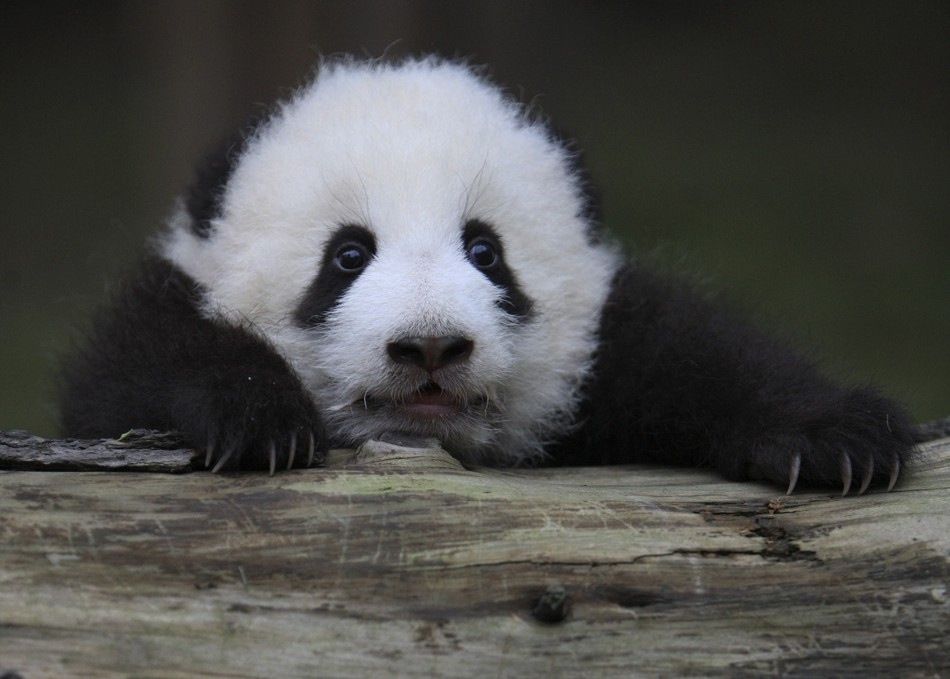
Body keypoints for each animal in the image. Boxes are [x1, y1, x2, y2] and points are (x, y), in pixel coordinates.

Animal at [58, 56, 917, 494]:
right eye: (347, 256)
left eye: (485, 251)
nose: (430, 346)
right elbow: (130, 370)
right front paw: (256, 417)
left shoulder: (605, 341)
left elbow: (694, 349)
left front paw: (834, 439)